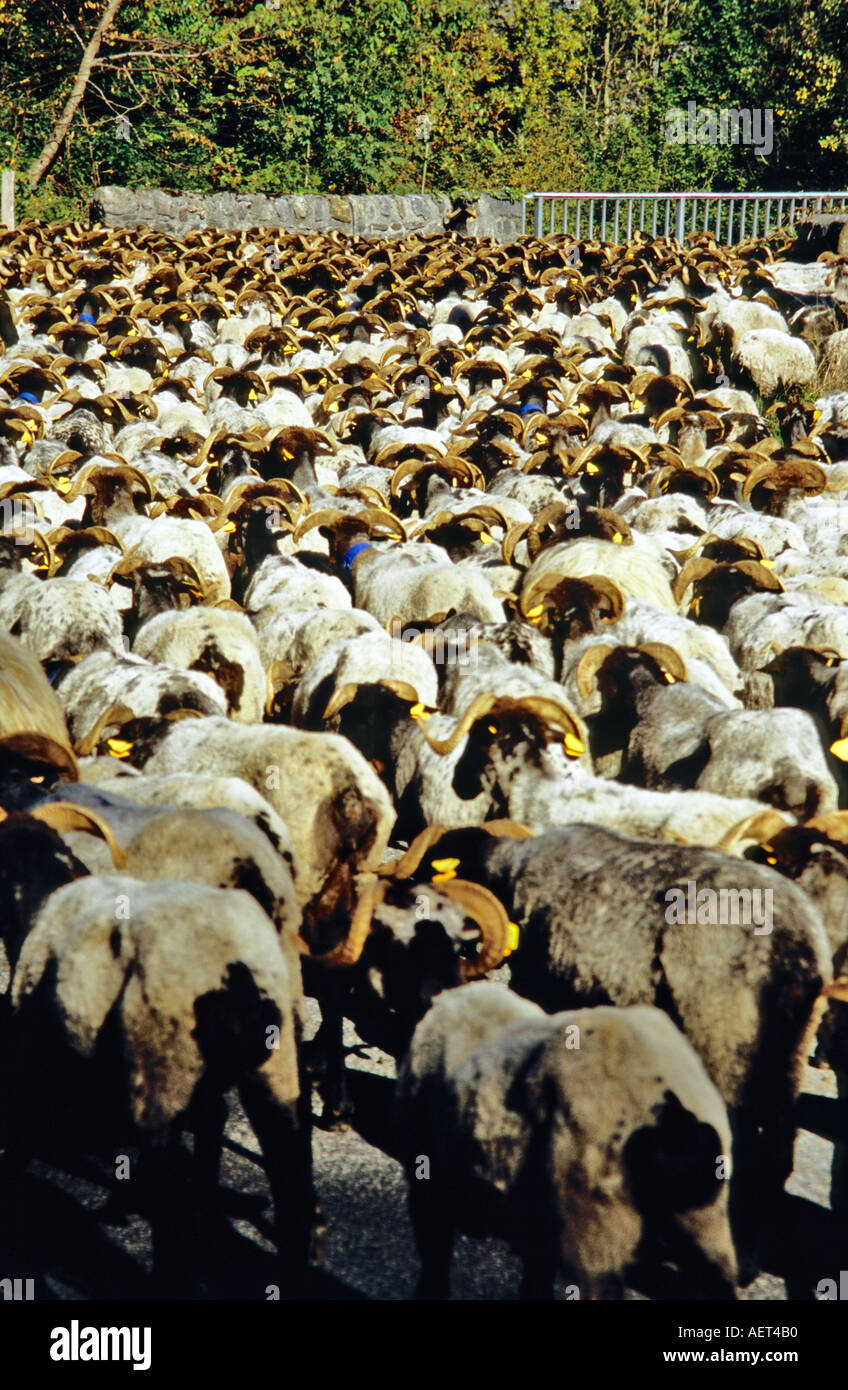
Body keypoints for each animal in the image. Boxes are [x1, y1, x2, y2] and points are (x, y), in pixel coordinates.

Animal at [396, 985, 737, 1300]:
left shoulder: (428, 1172)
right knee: (715, 1271)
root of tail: (671, 1120)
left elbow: (435, 1251)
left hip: (597, 1213)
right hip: (703, 1208)